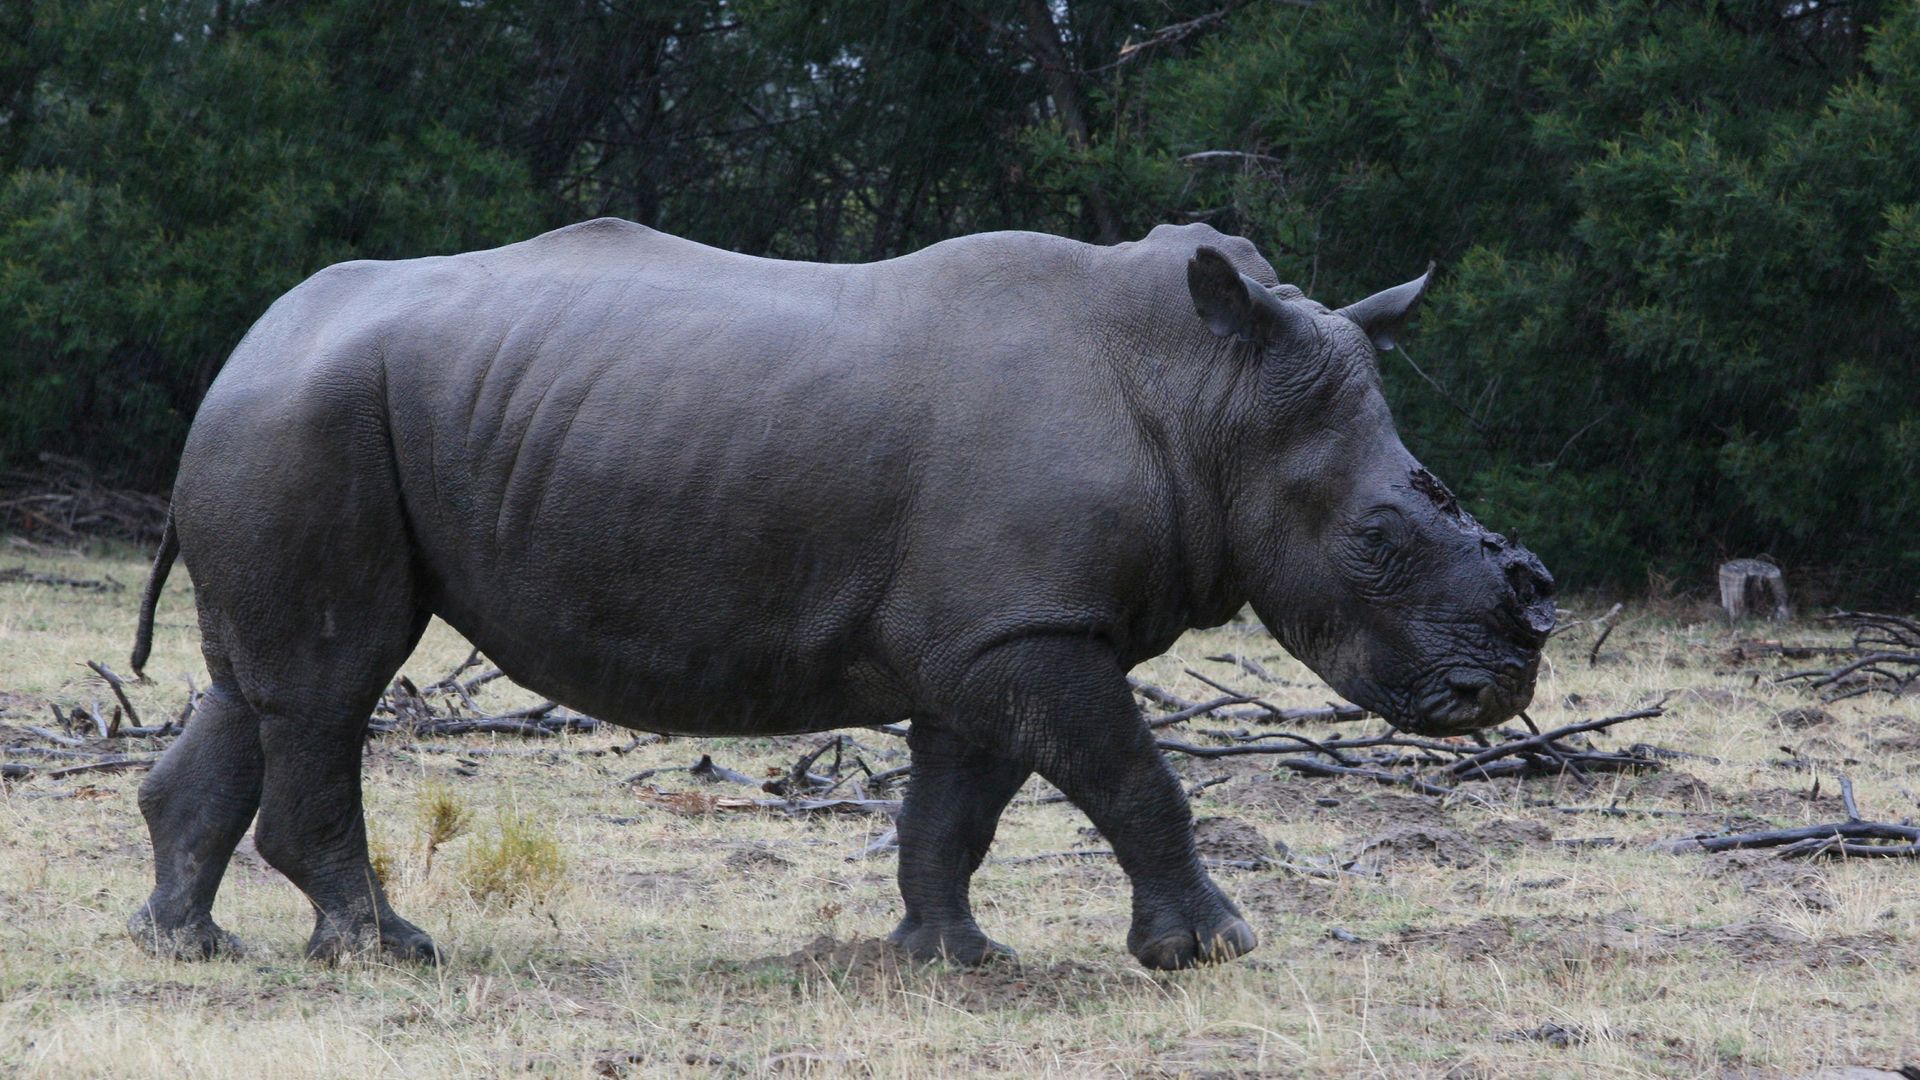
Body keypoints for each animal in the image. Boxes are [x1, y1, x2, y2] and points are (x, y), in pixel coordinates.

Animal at [126, 219, 1553, 971]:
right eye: (1380, 536)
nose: (1511, 673)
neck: (1203, 395)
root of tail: (247, 344)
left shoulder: (989, 633)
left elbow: (958, 808)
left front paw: (954, 959)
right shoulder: (1028, 627)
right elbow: (1134, 780)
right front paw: (1214, 951)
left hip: (298, 414)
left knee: (258, 686)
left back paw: (186, 947)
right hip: (310, 417)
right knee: (334, 682)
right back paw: (387, 952)